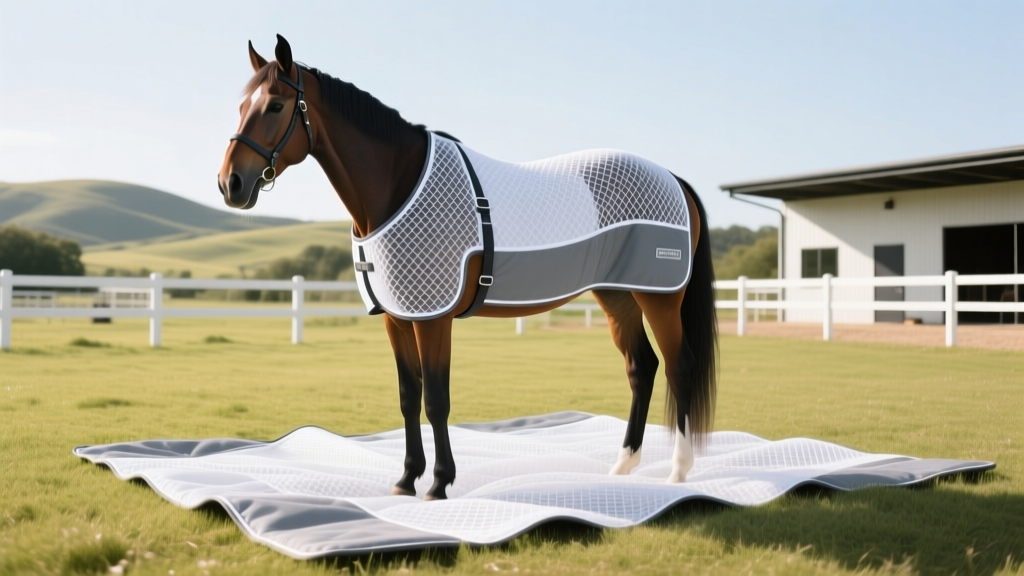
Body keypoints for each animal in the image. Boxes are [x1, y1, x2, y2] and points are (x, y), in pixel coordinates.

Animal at [217, 35, 717, 501]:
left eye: (276, 105)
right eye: (242, 105)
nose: (230, 183)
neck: (399, 185)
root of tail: (675, 179)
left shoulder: (433, 319)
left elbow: (436, 399)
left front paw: (439, 483)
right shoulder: (397, 319)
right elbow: (408, 398)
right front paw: (405, 480)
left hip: (660, 298)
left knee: (679, 366)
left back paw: (678, 472)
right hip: (616, 295)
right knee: (641, 367)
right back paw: (623, 466)